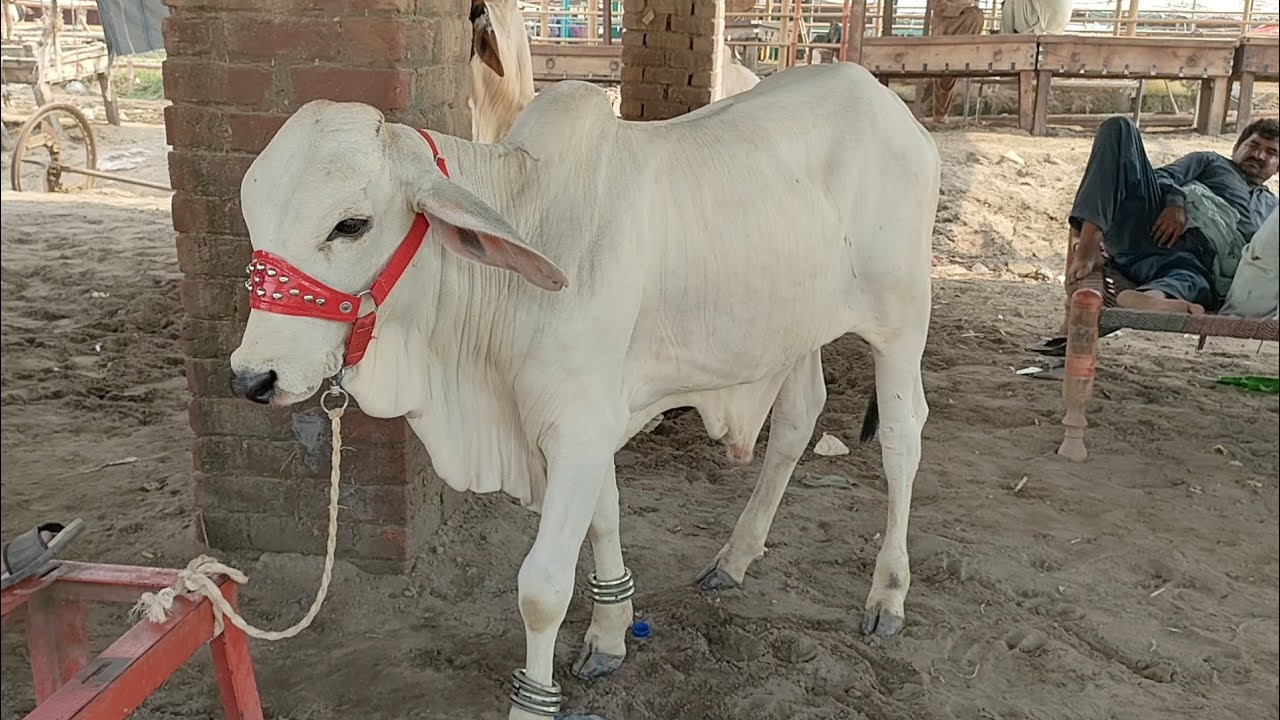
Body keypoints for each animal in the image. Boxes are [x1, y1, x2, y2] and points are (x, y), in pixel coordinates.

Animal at [230, 61, 938, 719]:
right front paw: (610, 633)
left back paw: (888, 594)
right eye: (253, 216)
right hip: (796, 328)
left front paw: (533, 700)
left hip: (902, 321)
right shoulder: (589, 419)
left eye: (351, 225)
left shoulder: (579, 427)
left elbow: (542, 588)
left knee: (903, 443)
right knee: (797, 420)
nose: (253, 376)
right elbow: (605, 518)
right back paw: (735, 557)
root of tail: (886, 102)